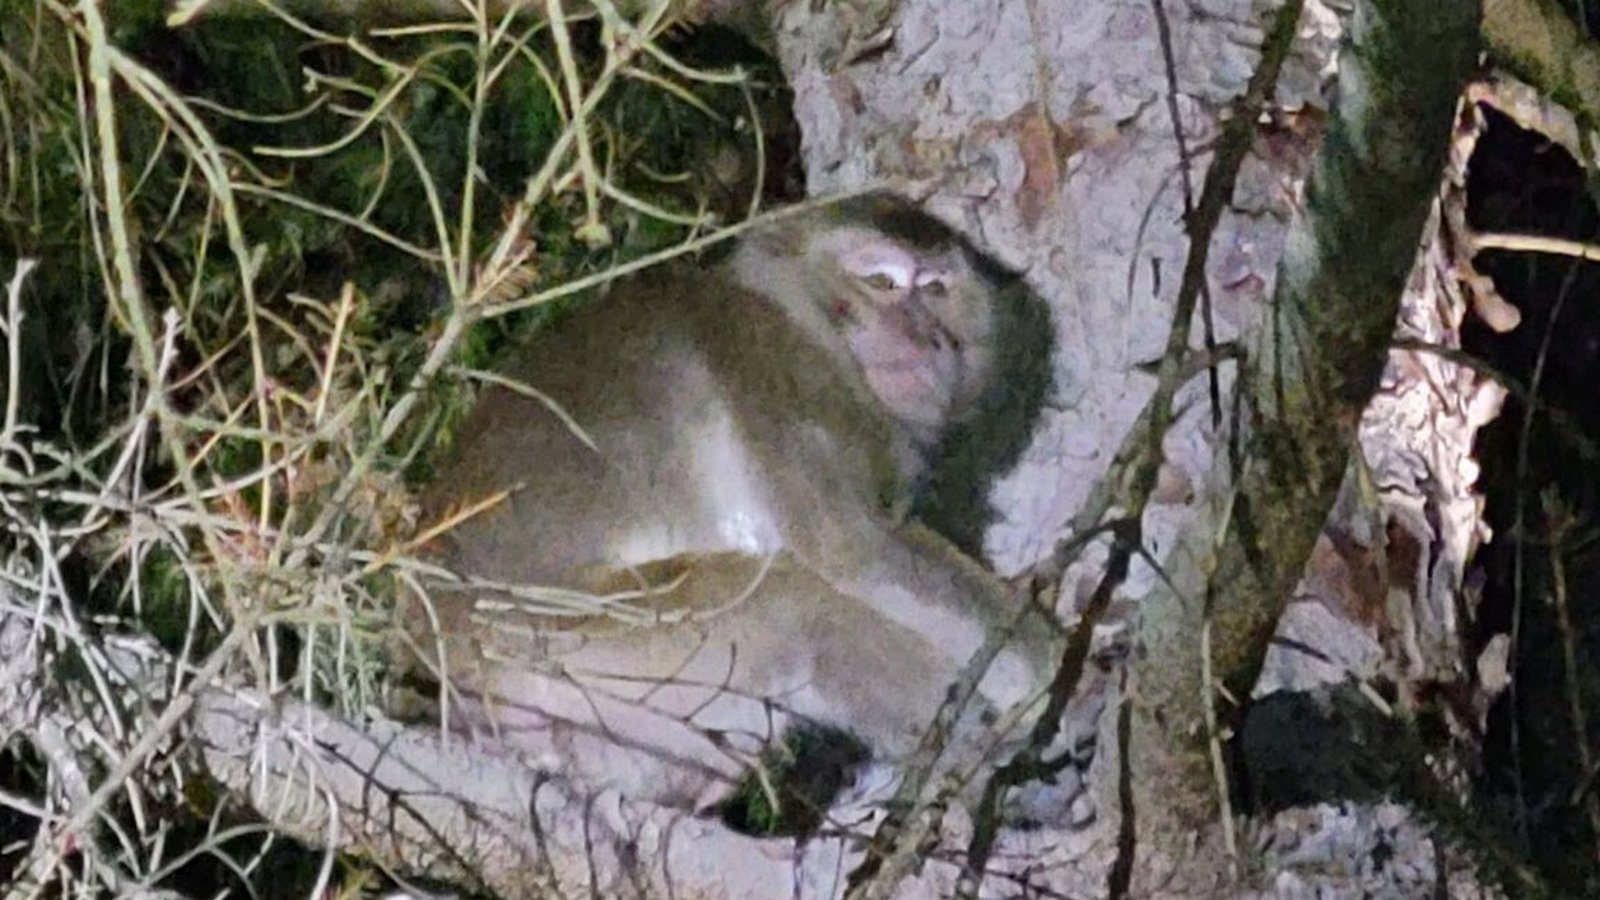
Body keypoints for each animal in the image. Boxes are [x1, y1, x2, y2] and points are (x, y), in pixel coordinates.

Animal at [400, 194, 1063, 833]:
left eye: (937, 290)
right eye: (882, 280)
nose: (927, 337)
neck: (798, 315)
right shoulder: (782, 371)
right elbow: (851, 547)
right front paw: (1056, 674)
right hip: (565, 641)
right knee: (803, 609)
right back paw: (978, 769)